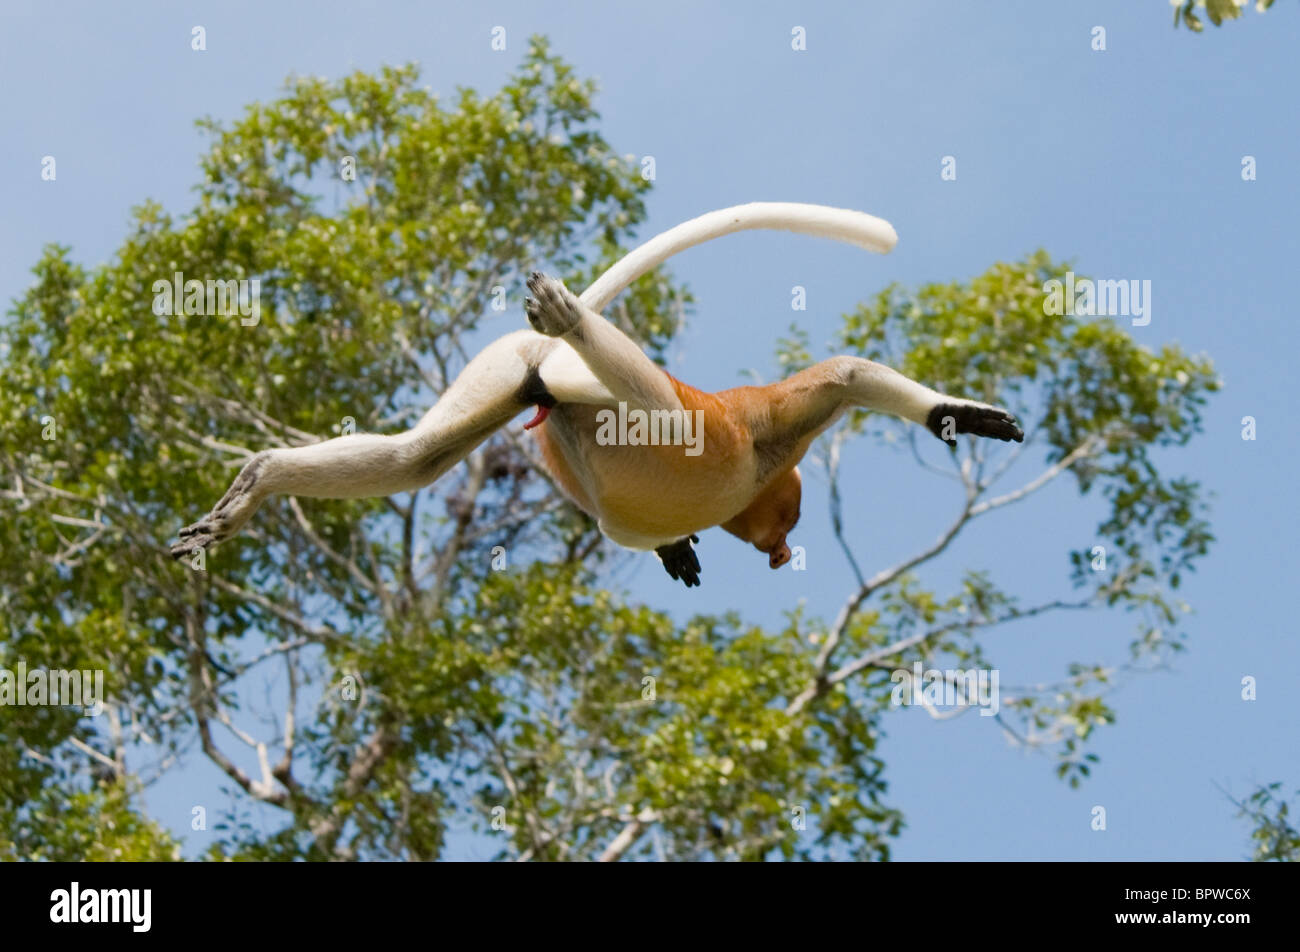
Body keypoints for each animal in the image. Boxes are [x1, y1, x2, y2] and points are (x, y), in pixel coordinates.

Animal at [170, 203, 1023, 587]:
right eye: (789, 513)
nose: (782, 548)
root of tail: (556, 360)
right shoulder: (766, 435)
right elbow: (840, 378)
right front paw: (963, 416)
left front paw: (675, 549)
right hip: (651, 400)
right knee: (667, 412)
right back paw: (570, 314)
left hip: (504, 367)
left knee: (418, 456)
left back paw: (252, 486)